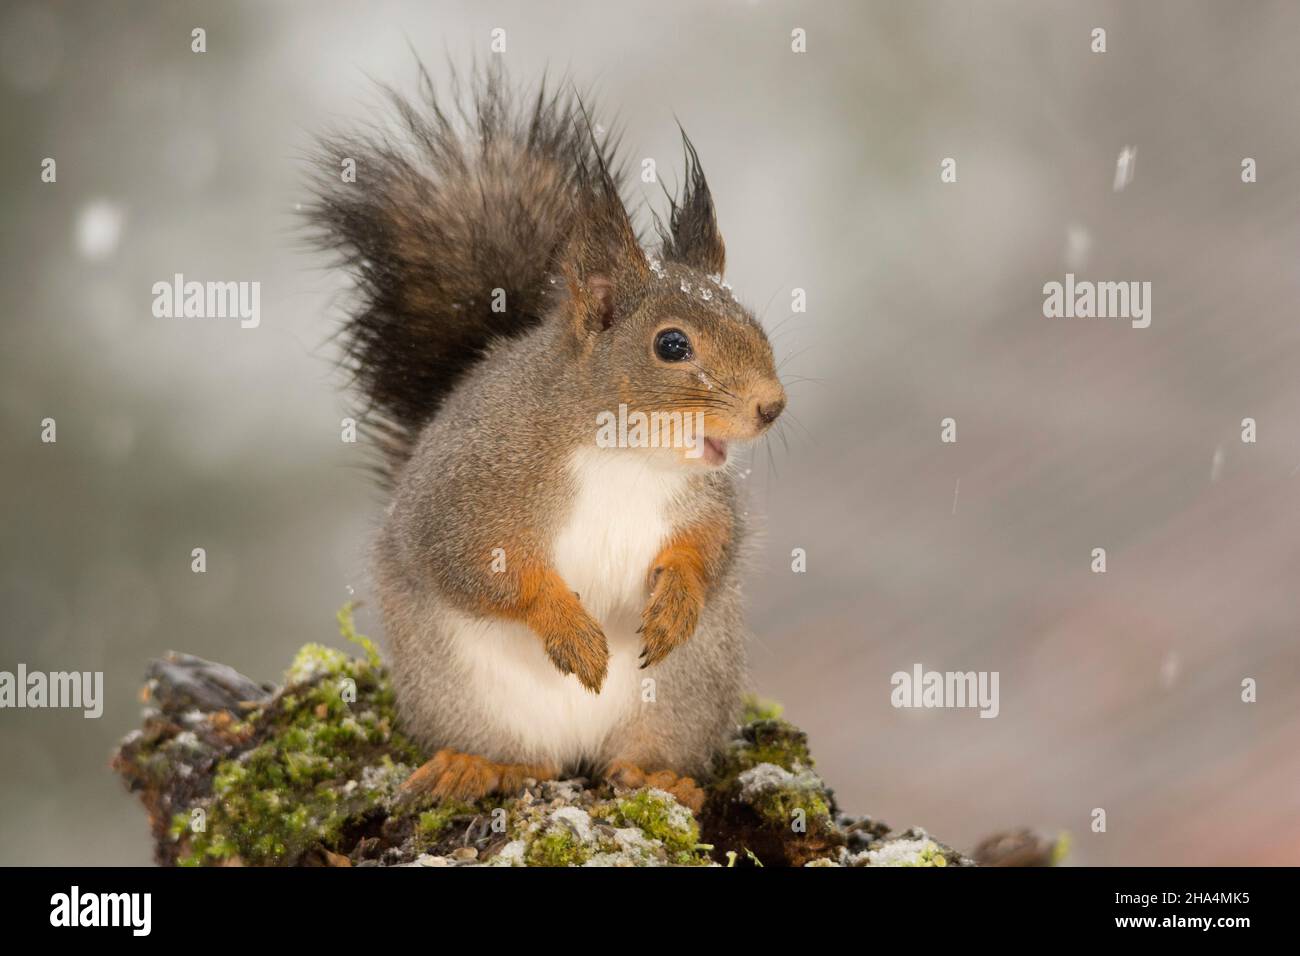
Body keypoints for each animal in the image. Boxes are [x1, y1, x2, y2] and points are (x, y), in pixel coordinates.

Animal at [308, 68, 786, 812]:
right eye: (672, 345)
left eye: (754, 323)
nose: (772, 406)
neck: (625, 454)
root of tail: (577, 754)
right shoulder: (469, 488)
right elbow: (479, 567)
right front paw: (568, 627)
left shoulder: (705, 498)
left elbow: (713, 546)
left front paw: (676, 599)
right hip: (462, 696)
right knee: (525, 760)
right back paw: (477, 767)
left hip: (685, 692)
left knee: (632, 757)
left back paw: (658, 776)